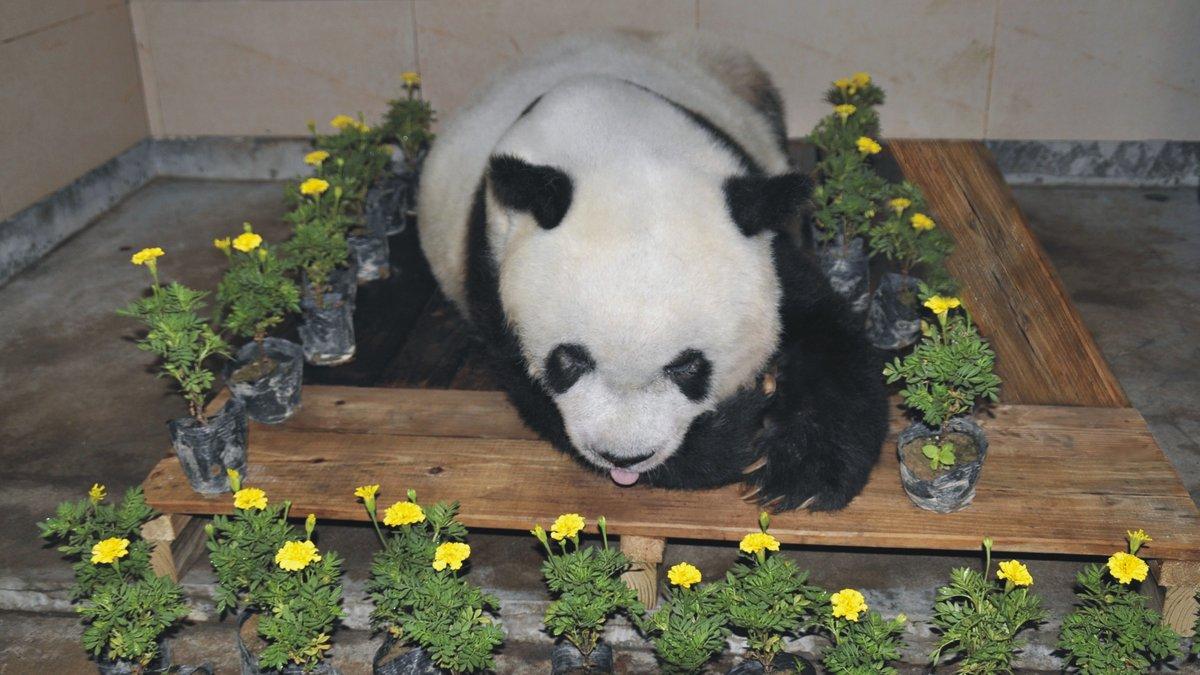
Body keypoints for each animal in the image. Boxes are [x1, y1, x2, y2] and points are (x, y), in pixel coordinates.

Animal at [417, 31, 888, 511]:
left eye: (687, 366)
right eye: (569, 359)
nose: (623, 457)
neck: (616, 139)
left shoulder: (762, 236)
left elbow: (824, 330)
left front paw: (804, 472)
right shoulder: (494, 258)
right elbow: (529, 390)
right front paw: (739, 431)